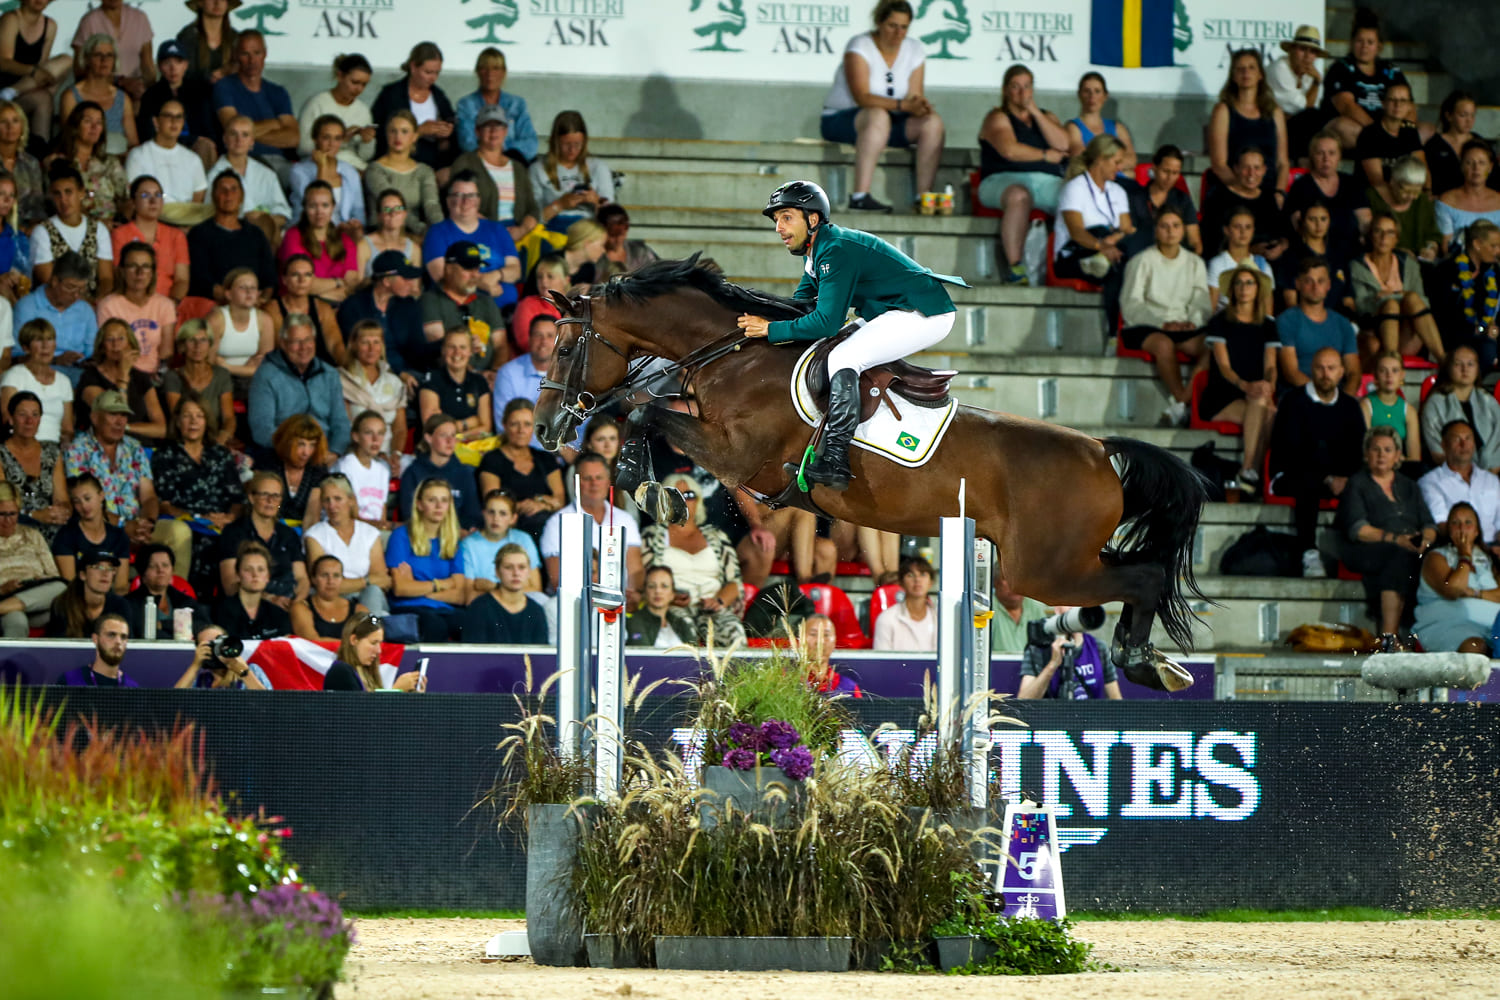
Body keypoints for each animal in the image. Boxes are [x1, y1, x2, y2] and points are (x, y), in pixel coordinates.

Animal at [537, 256, 1206, 689]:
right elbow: (645, 411)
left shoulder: (736, 454)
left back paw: (1143, 662)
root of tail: (1099, 450)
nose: (545, 428)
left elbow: (643, 409)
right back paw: (1146, 660)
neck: (733, 354)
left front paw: (648, 485)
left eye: (565, 349)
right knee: (1137, 574)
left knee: (1143, 576)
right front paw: (653, 486)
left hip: (1046, 567)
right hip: (1055, 560)